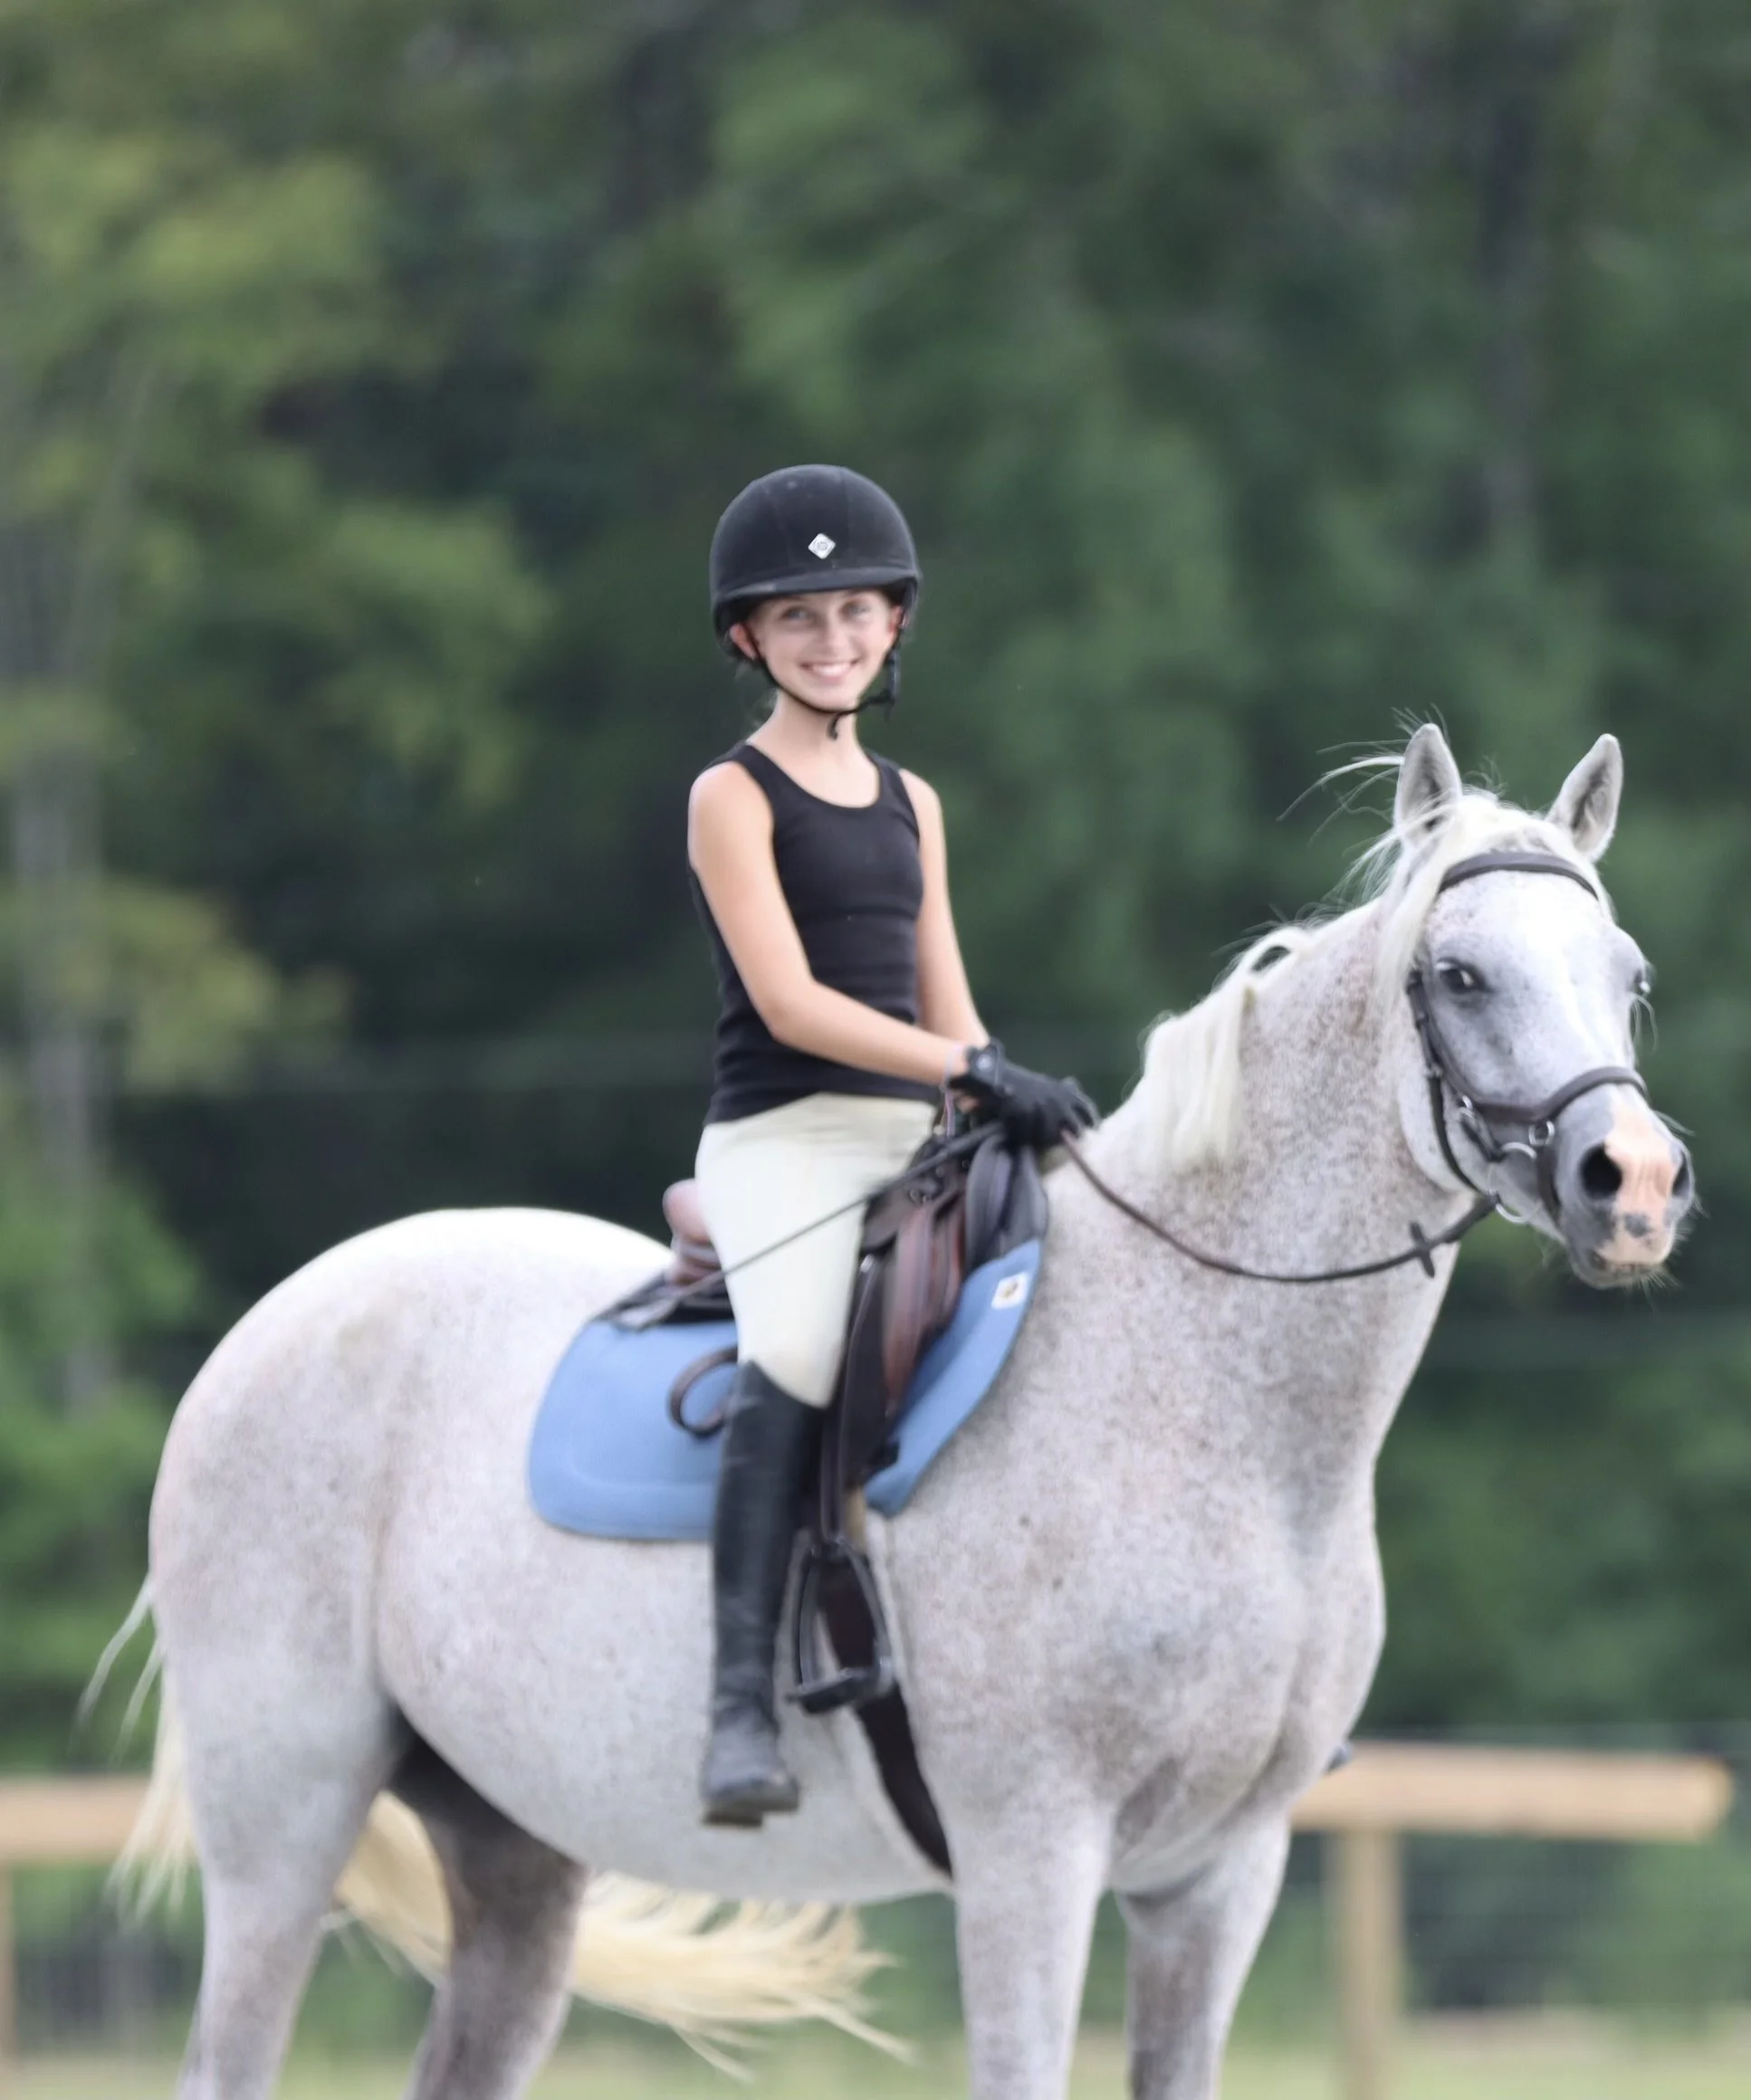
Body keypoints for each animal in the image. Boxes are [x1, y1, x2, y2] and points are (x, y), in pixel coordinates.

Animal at [117, 724, 1692, 2099]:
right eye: (1460, 973)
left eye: (1625, 973)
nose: (1631, 1185)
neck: (1205, 1399)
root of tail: (270, 1324)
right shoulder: (1030, 1857)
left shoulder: (1216, 1875)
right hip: (282, 1833)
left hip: (514, 1863)